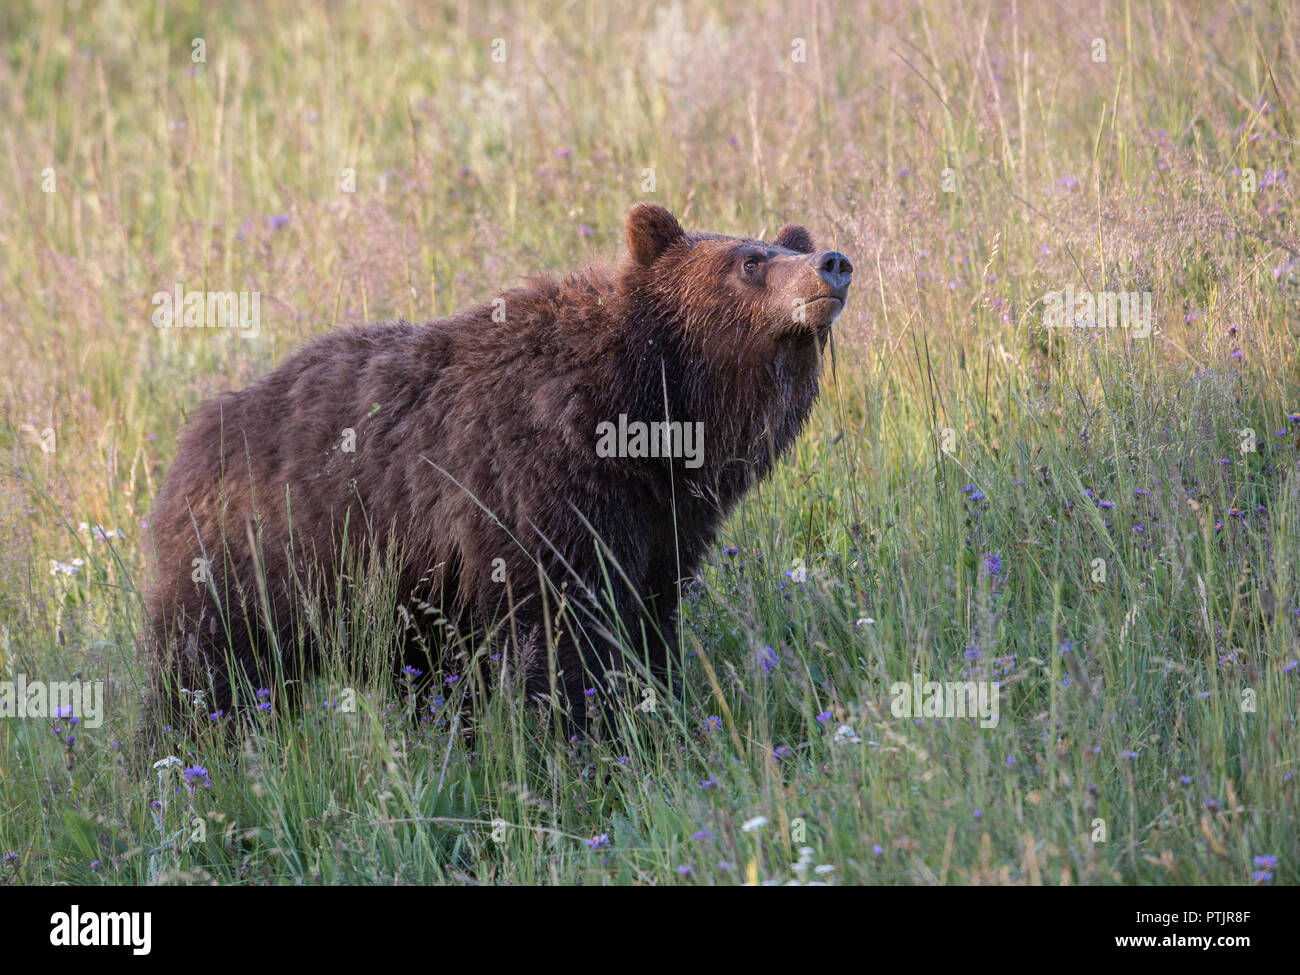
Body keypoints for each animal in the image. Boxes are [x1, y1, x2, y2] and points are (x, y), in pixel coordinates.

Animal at [143, 203, 852, 731]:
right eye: (750, 261)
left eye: (780, 245)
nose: (833, 264)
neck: (649, 414)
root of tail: (191, 434)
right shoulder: (536, 490)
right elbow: (558, 631)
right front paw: (575, 731)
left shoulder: (662, 520)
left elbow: (649, 616)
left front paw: (653, 707)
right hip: (255, 557)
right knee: (206, 667)